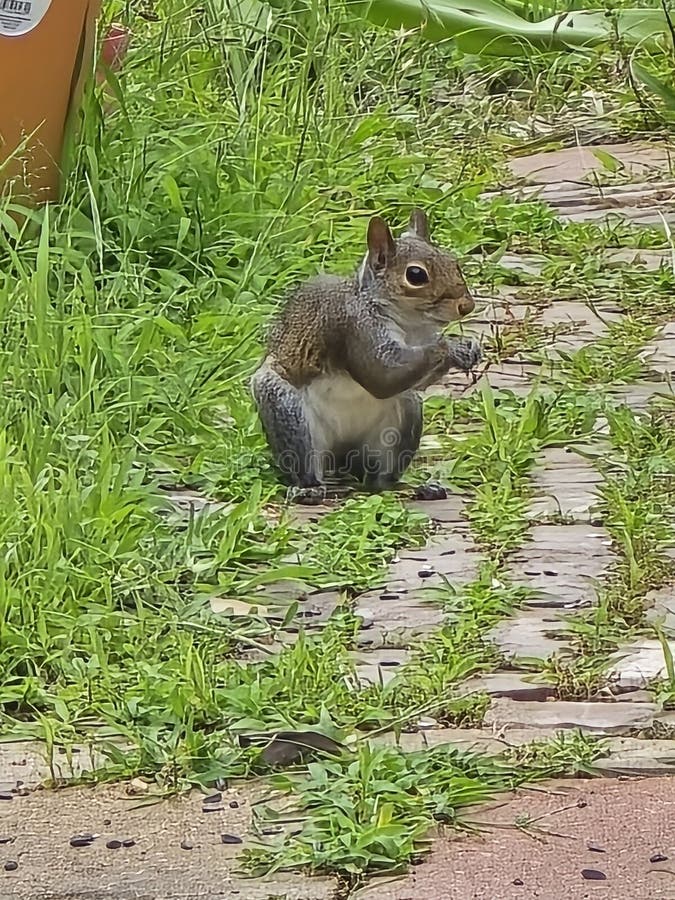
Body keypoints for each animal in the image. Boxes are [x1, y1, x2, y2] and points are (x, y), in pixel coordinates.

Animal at [251, 208, 481, 504]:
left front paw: (469, 348)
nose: (467, 306)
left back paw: (411, 487)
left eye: (454, 262)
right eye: (416, 275)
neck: (411, 325)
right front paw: (452, 346)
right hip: (287, 413)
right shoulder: (354, 329)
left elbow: (413, 381)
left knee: (378, 479)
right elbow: (381, 375)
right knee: (305, 463)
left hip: (402, 419)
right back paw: (309, 488)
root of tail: (341, 455)